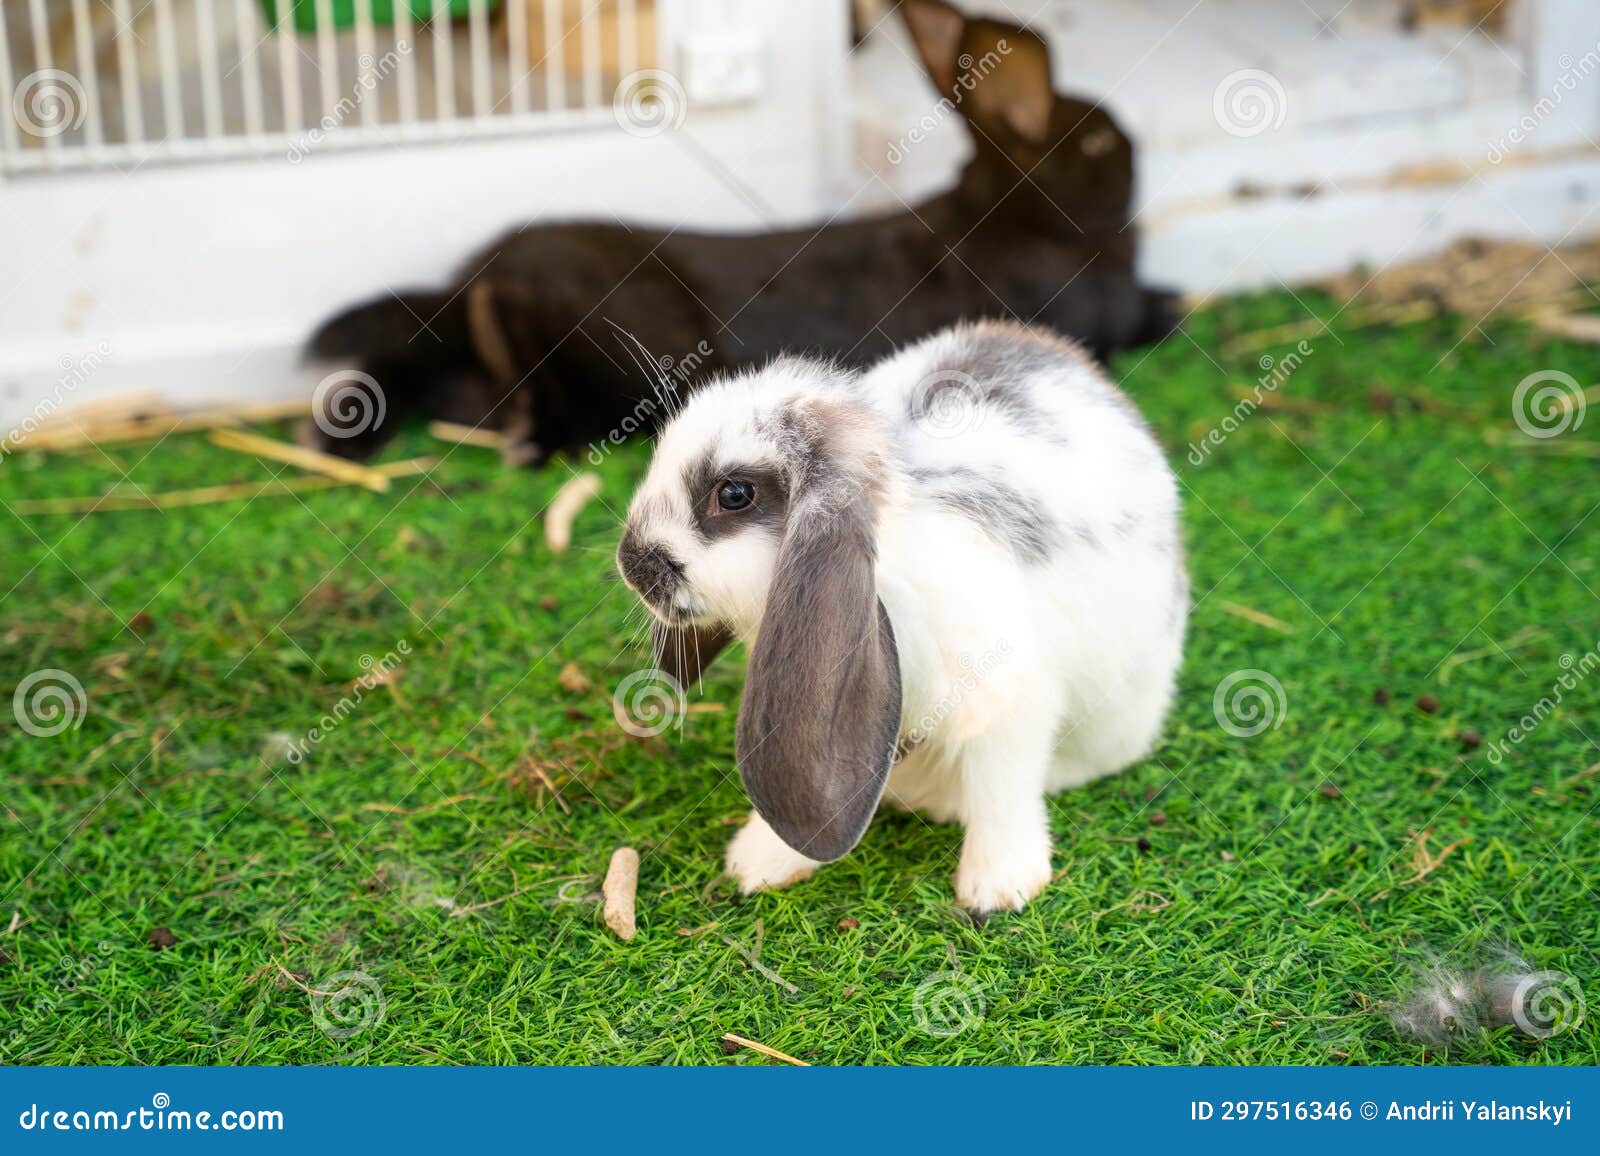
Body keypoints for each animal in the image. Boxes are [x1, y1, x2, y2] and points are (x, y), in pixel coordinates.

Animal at [305, 0, 1178, 467]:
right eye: (1101, 144)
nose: (1136, 148)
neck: (1014, 213)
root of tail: (483, 279)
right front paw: (1171, 306)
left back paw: (337, 441)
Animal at [615, 319, 1188, 913]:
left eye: (733, 493)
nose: (631, 563)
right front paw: (756, 863)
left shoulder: (1002, 705)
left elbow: (1000, 792)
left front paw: (997, 888)